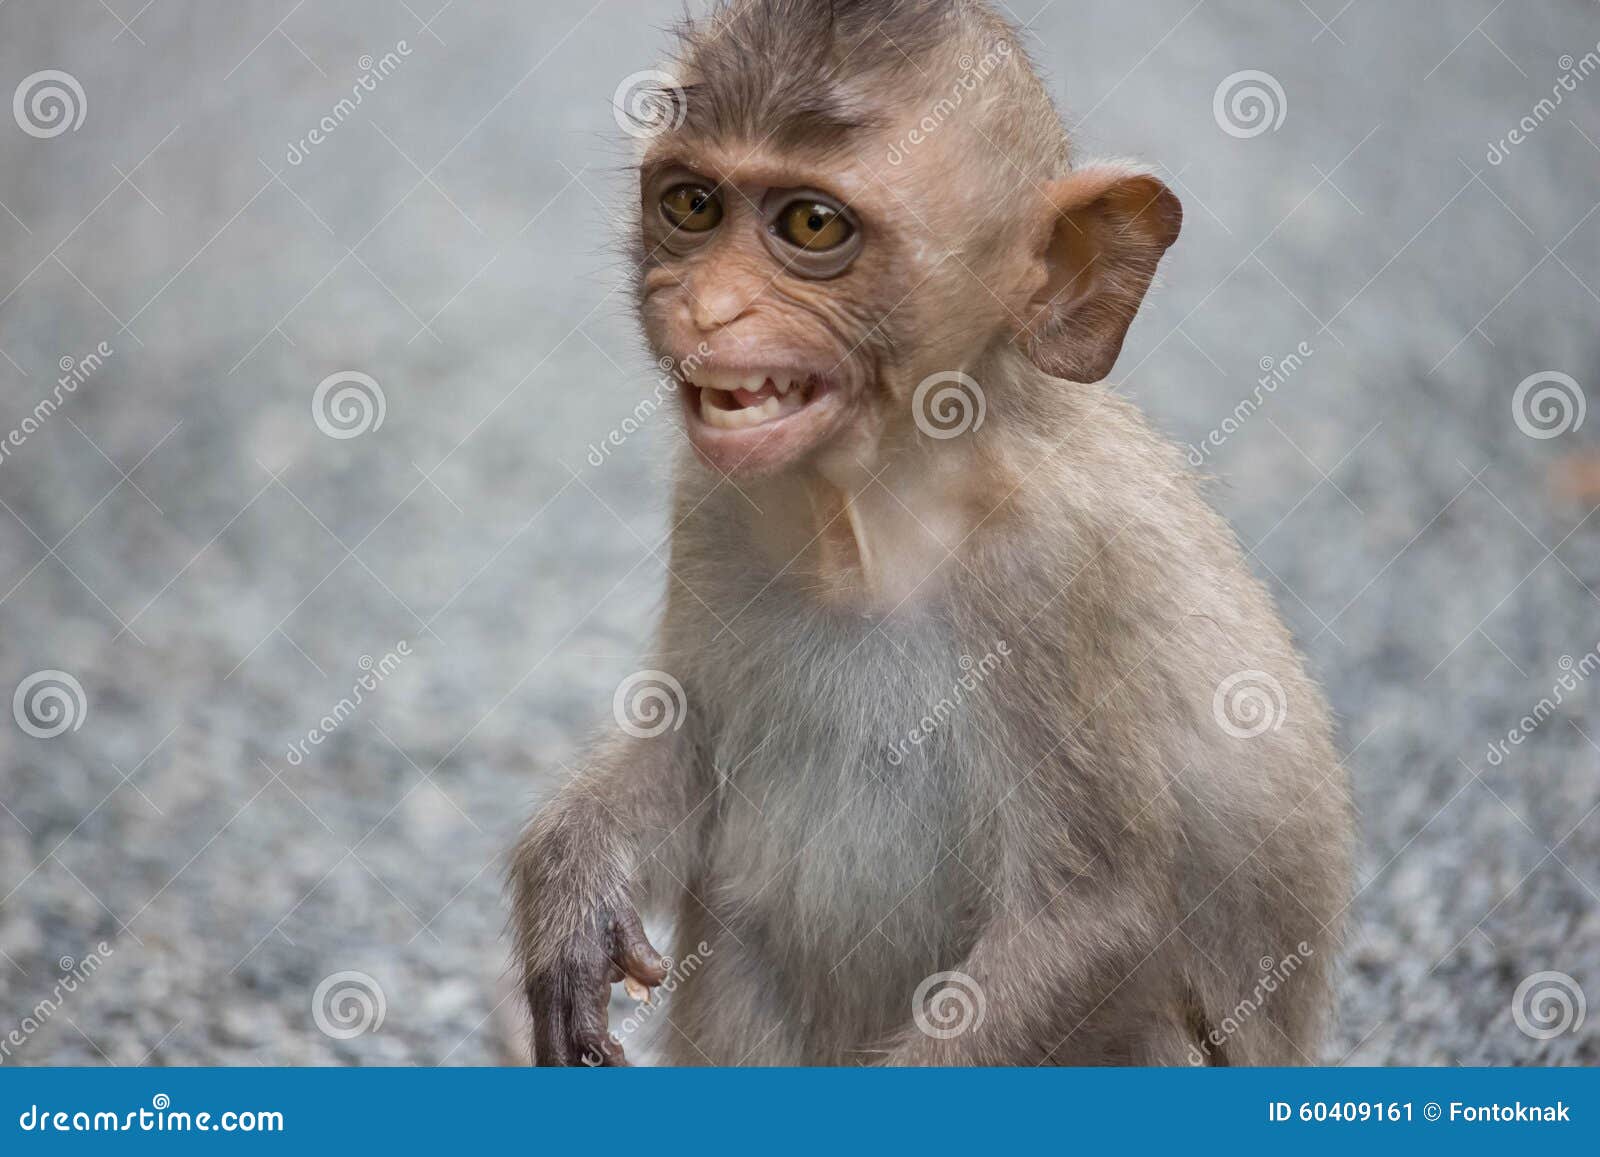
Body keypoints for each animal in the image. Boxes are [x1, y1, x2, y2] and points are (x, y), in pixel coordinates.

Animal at [510, 0, 1352, 1066]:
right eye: (692, 206)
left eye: (811, 224)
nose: (705, 306)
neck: (875, 516)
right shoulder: (712, 500)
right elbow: (689, 744)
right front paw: (571, 889)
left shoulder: (1059, 569)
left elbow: (1095, 913)